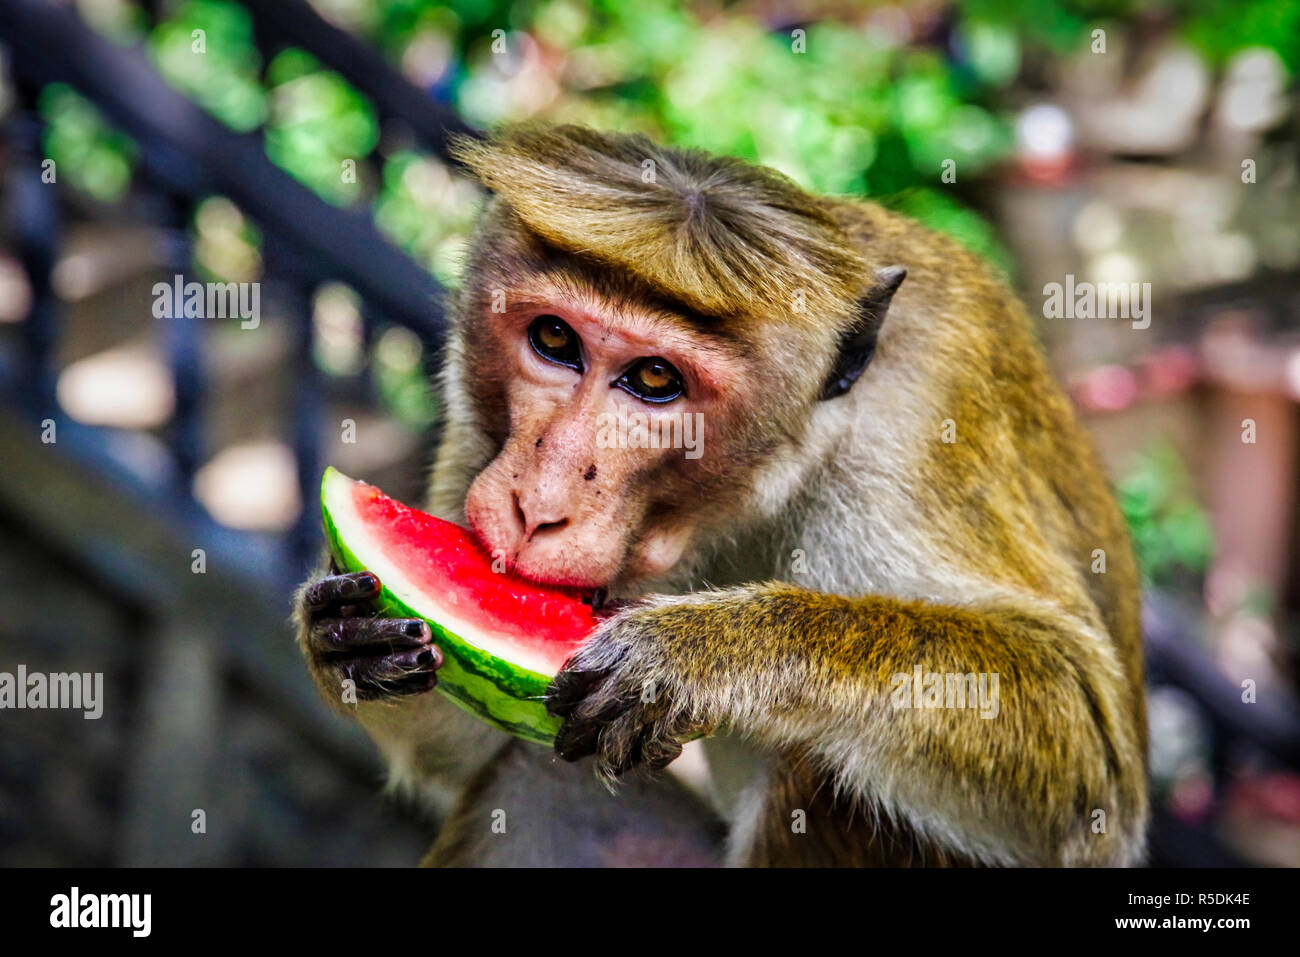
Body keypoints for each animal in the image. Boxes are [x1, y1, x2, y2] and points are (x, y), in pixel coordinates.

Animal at [296, 124, 1148, 867]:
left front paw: (701, 652)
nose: (537, 504)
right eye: (554, 340)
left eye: (654, 379)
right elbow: (458, 744)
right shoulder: (481, 424)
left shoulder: (924, 417)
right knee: (537, 783)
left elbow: (1086, 742)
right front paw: (342, 636)